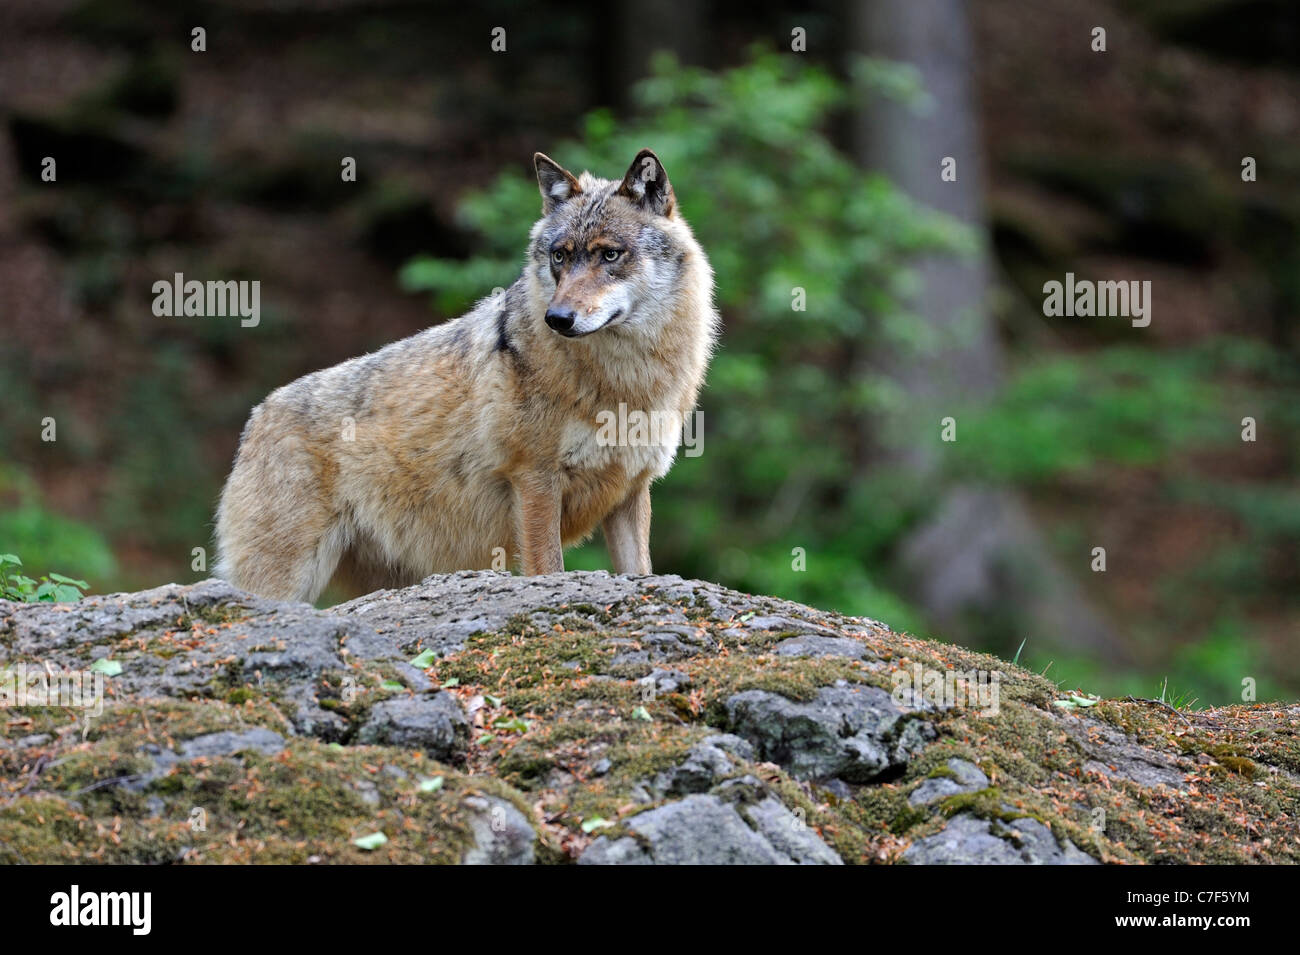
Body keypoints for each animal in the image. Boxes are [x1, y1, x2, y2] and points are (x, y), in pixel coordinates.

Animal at [214, 149, 718, 603]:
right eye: (559, 257)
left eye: (610, 255)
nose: (558, 318)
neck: (626, 382)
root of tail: (257, 416)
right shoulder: (535, 482)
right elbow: (547, 569)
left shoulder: (631, 490)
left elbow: (641, 572)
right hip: (286, 579)